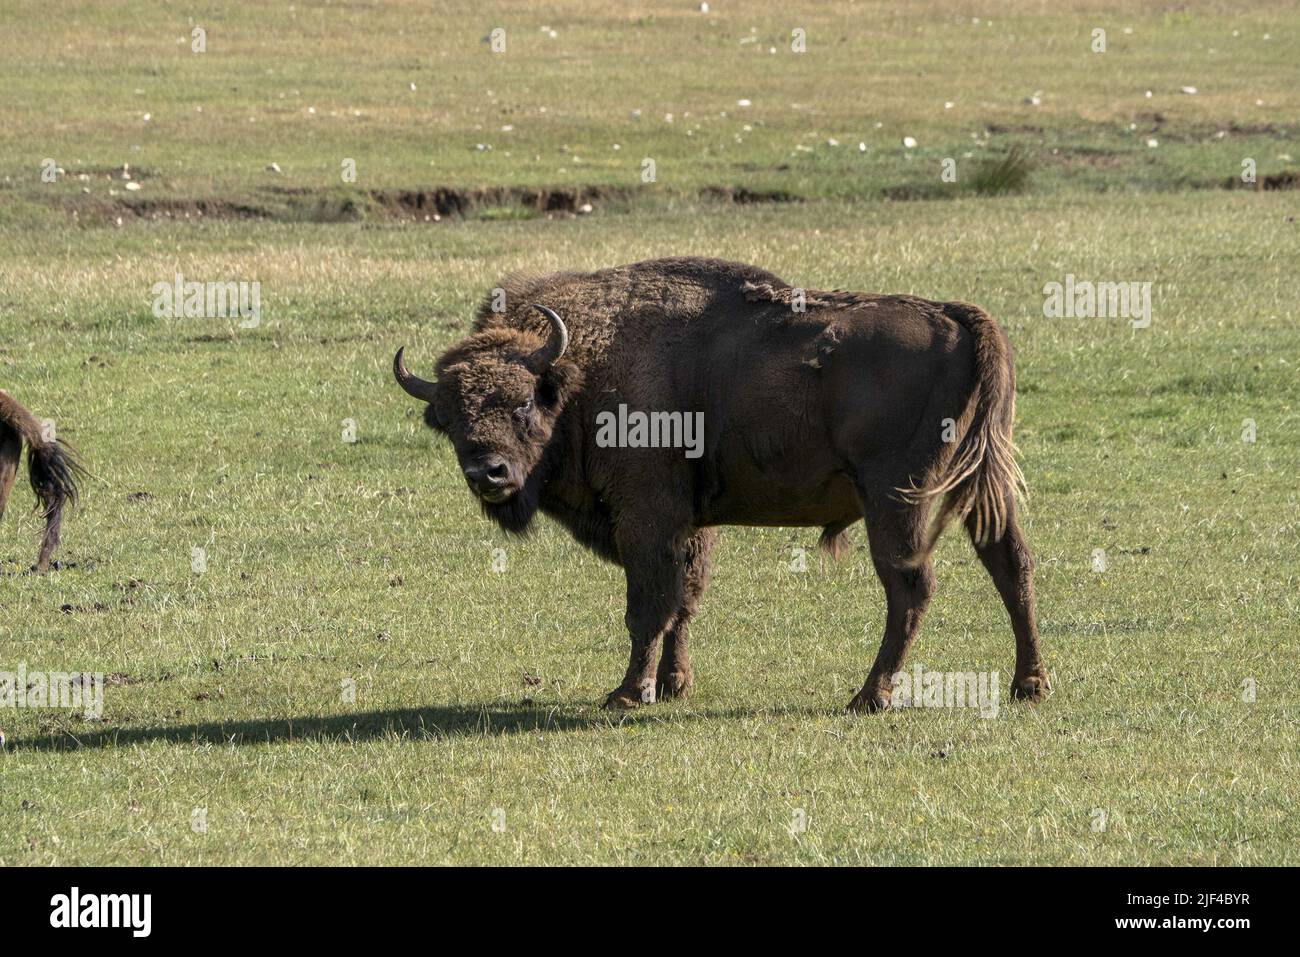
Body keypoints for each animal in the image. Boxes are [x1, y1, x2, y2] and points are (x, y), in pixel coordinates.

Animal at [394, 257, 1048, 711]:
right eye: (447, 418)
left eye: (526, 402)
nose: (488, 474)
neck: (579, 369)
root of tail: (956, 316)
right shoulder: (690, 525)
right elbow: (684, 600)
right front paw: (674, 684)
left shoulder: (648, 519)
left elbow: (648, 607)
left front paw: (627, 694)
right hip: (981, 490)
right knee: (1010, 564)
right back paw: (1029, 685)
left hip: (895, 499)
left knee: (911, 588)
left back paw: (869, 696)